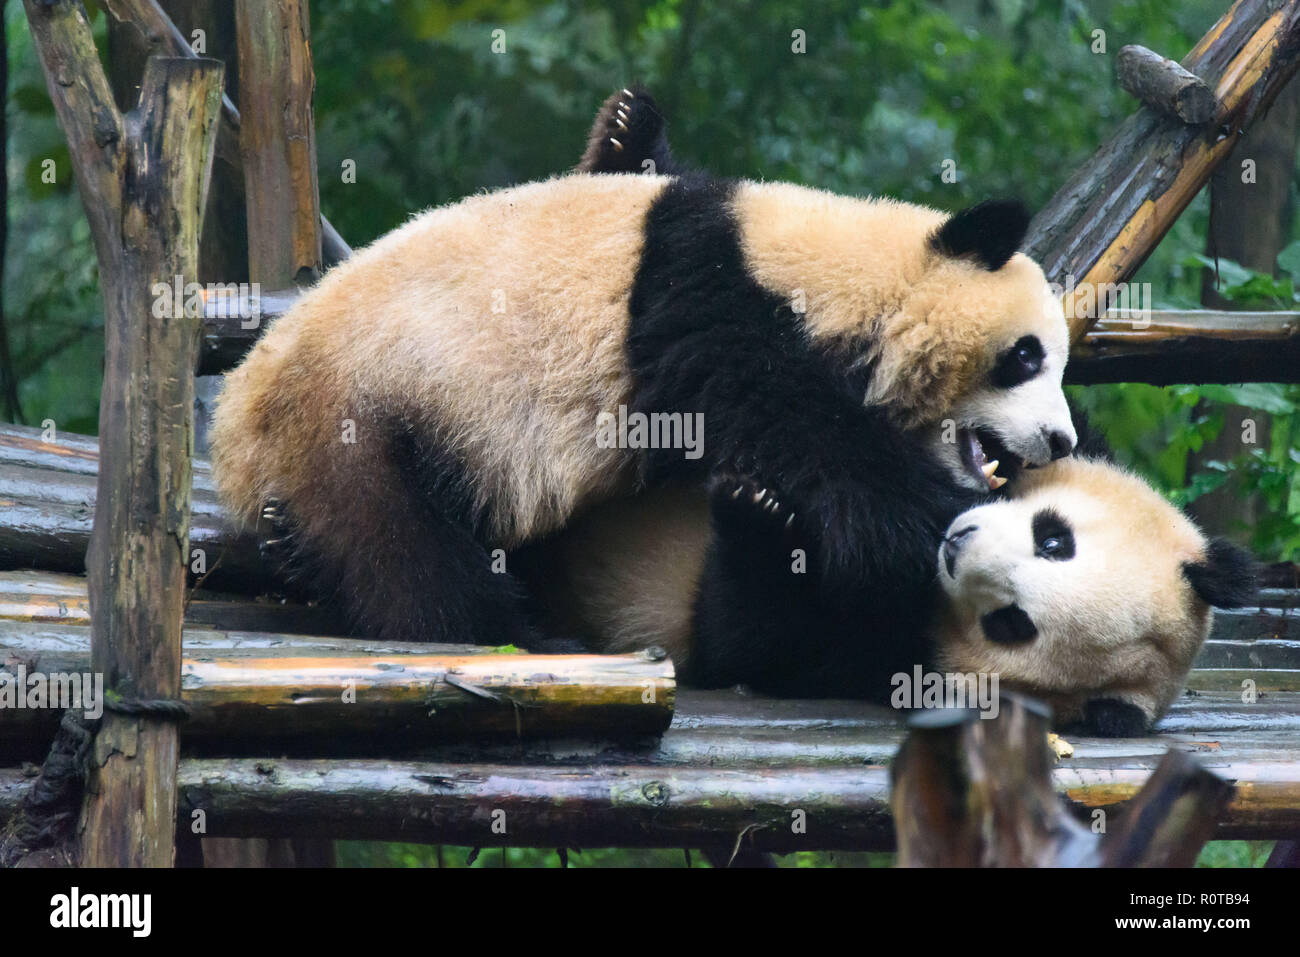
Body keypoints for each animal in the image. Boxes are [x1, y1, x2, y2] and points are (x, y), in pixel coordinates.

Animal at [211, 89, 1077, 648]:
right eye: (1025, 356)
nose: (1062, 440)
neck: (838, 269)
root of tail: (233, 431)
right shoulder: (711, 305)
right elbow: (811, 435)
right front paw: (943, 517)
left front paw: (631, 127)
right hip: (364, 411)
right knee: (403, 550)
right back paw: (514, 633)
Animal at [519, 455, 1258, 736]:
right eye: (1055, 539)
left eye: (1012, 623)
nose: (955, 543)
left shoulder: (877, 661)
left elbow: (746, 644)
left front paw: (756, 514)